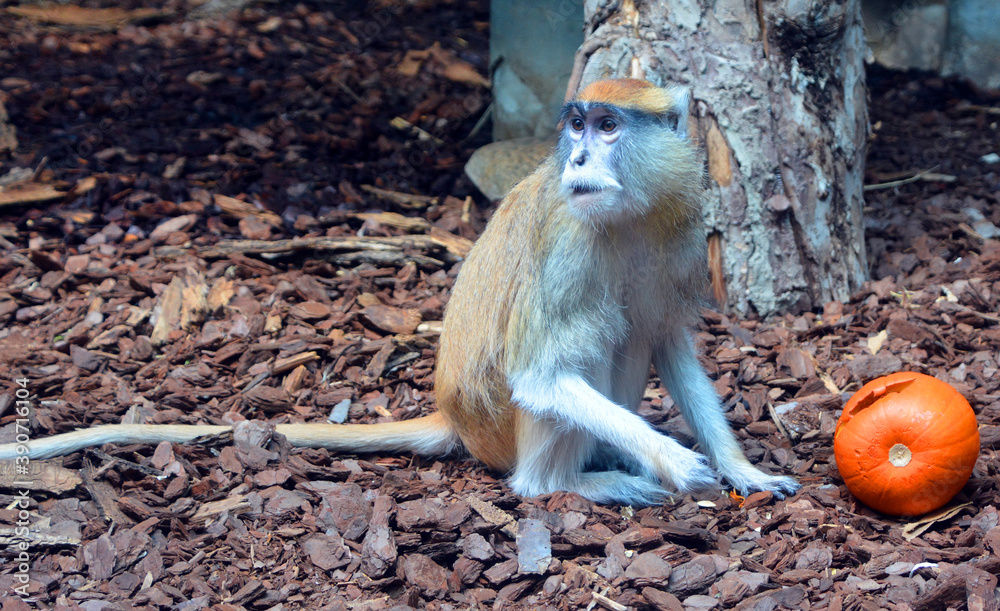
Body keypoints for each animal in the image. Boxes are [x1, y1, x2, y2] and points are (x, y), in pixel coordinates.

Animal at [0, 79, 798, 506]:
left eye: (607, 126)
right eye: (576, 125)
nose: (576, 157)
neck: (628, 216)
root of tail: (457, 418)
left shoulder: (679, 232)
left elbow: (669, 343)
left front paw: (742, 469)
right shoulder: (570, 249)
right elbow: (543, 375)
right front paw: (671, 459)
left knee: (628, 333)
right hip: (501, 424)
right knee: (591, 344)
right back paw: (566, 484)